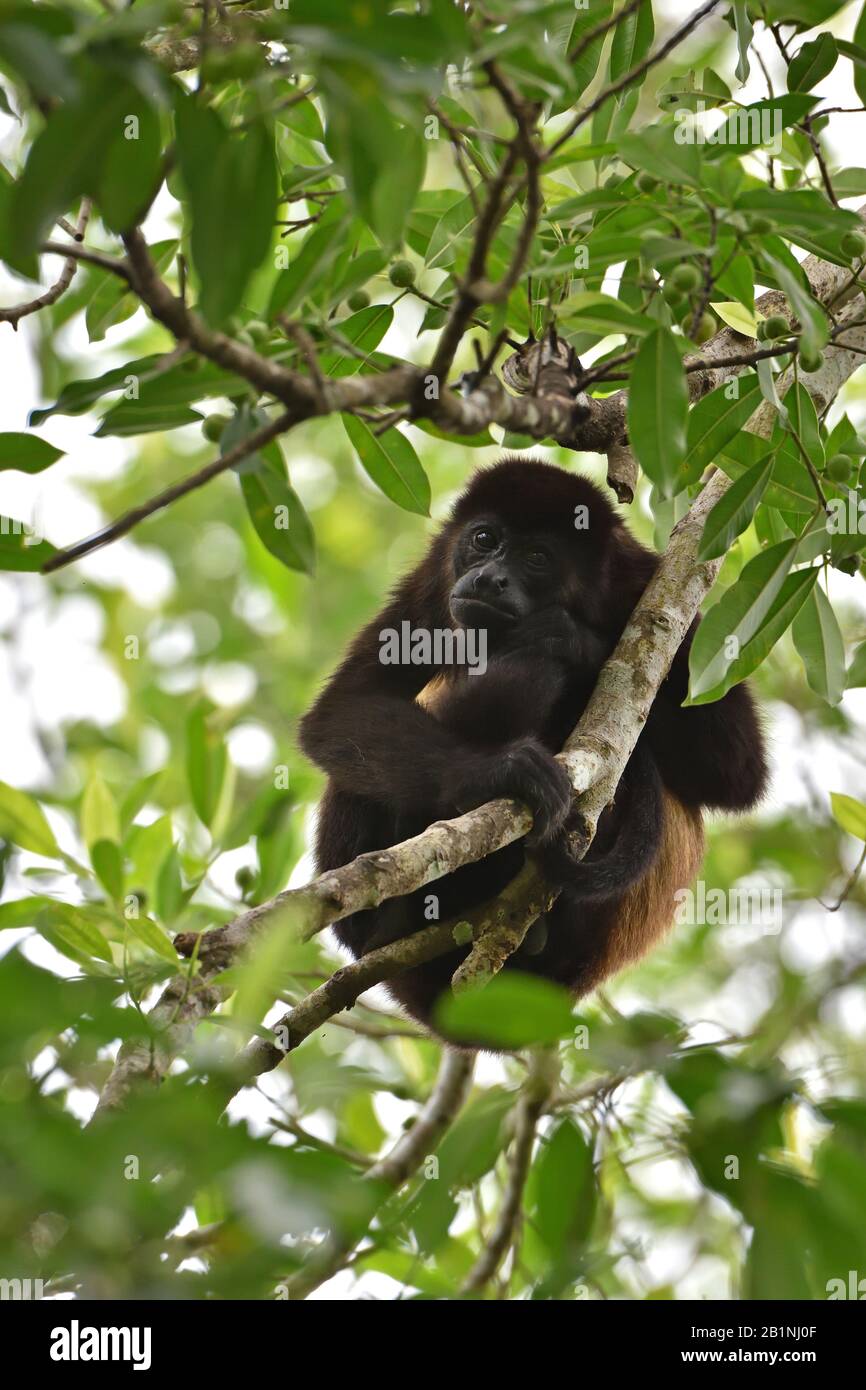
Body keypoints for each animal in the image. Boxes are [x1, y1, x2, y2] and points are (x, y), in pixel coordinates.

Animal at [300, 461, 767, 1039]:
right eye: (484, 539)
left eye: (538, 558)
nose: (490, 577)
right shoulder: (429, 584)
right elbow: (341, 710)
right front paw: (498, 772)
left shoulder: (647, 585)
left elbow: (738, 770)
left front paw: (569, 638)